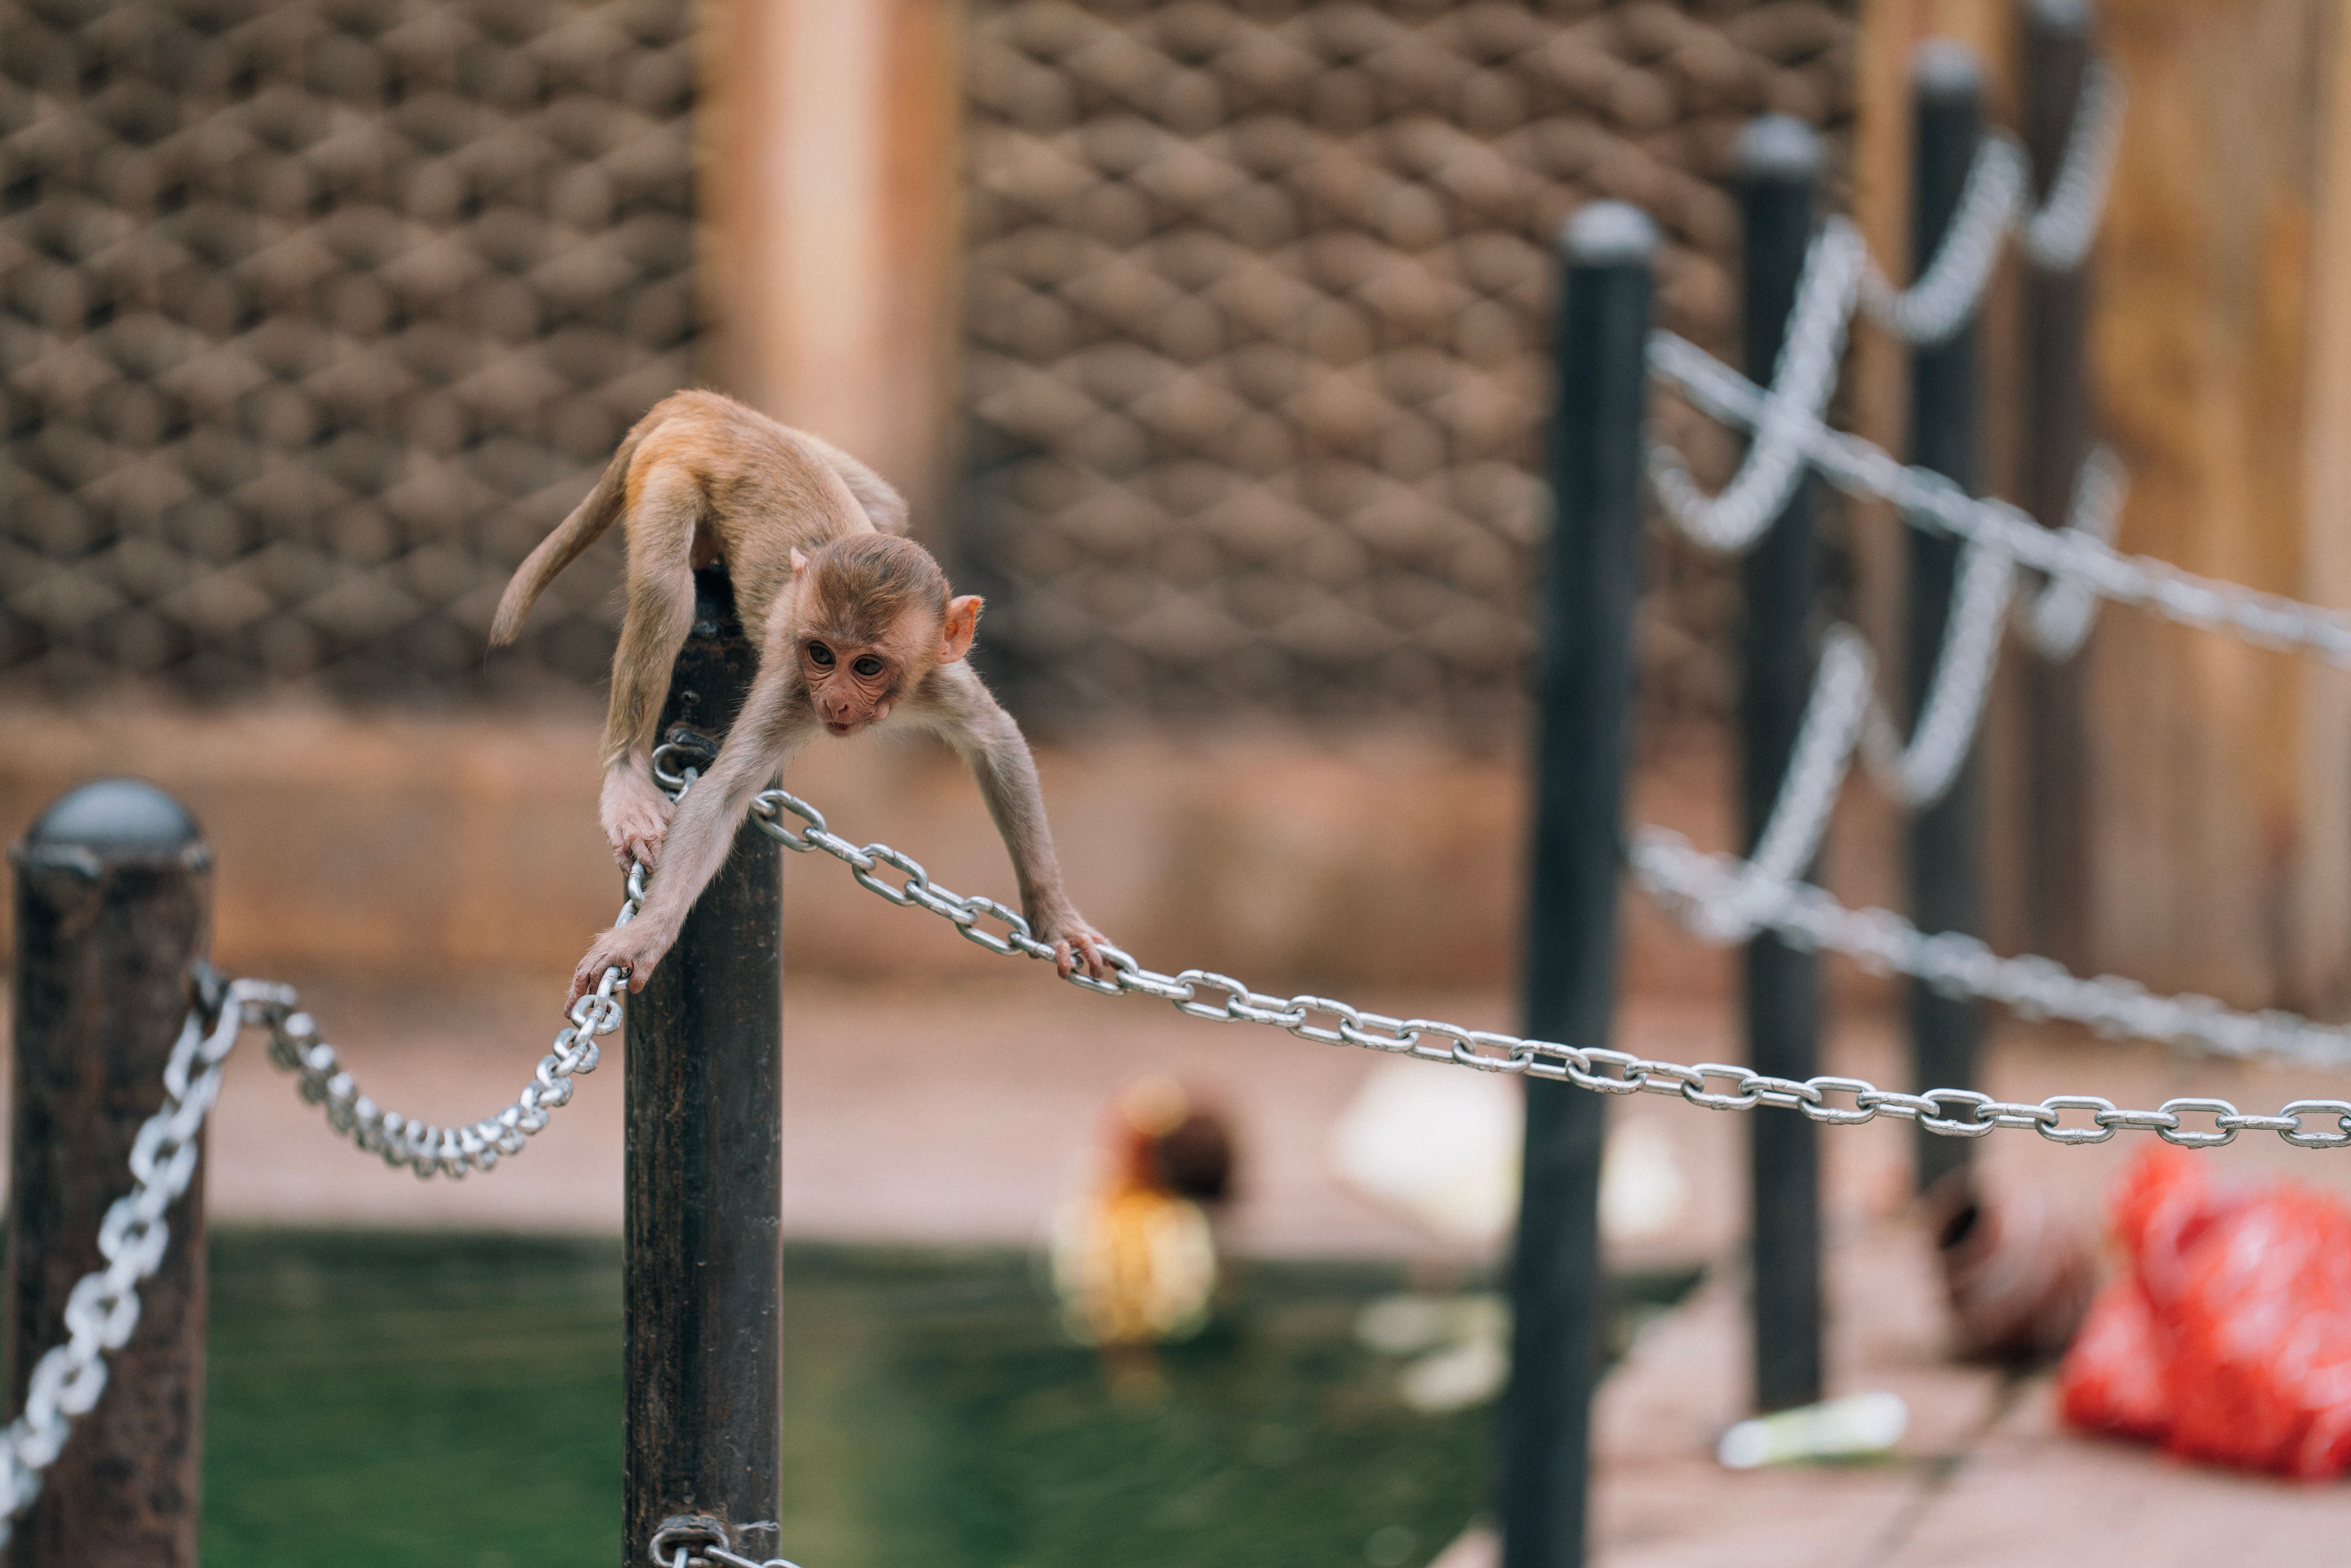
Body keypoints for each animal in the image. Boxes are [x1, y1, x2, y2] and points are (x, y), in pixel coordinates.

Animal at [486, 390, 1112, 1006]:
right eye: (820, 654)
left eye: (866, 665)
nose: (834, 699)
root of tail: (710, 407)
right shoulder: (791, 684)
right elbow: (720, 795)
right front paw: (645, 935)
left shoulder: (935, 674)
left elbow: (995, 738)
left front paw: (1055, 916)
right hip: (668, 471)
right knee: (665, 588)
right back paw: (626, 774)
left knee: (887, 505)